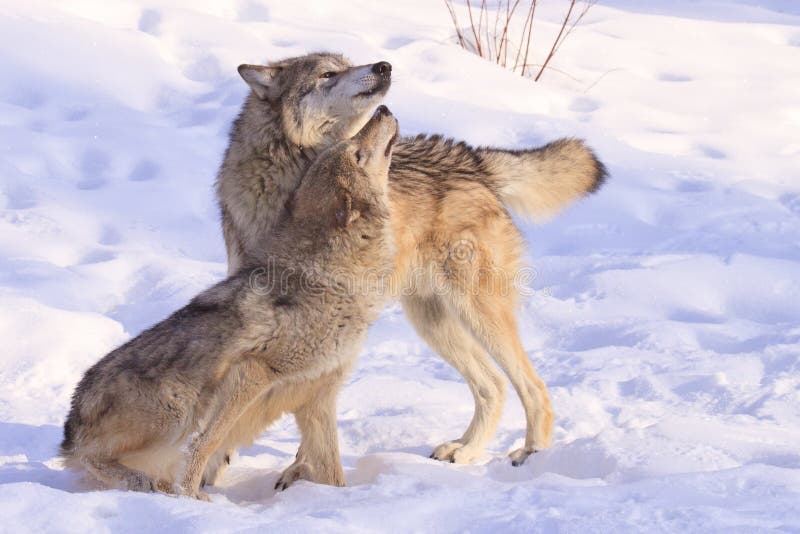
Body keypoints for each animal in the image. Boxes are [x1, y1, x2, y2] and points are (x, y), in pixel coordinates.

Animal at [60, 107, 399, 499]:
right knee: (90, 457)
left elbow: (332, 471)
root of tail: (71, 424)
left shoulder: (319, 398)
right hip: (178, 410)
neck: (336, 279)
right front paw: (191, 498)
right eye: (356, 152)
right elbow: (205, 443)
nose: (383, 110)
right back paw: (143, 483)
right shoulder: (251, 370)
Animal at [212, 52, 607, 484]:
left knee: (531, 385)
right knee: (493, 385)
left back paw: (530, 452)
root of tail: (470, 156)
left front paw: (304, 473)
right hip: (432, 322)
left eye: (348, 63)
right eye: (328, 73)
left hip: (477, 312)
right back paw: (466, 451)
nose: (383, 66)